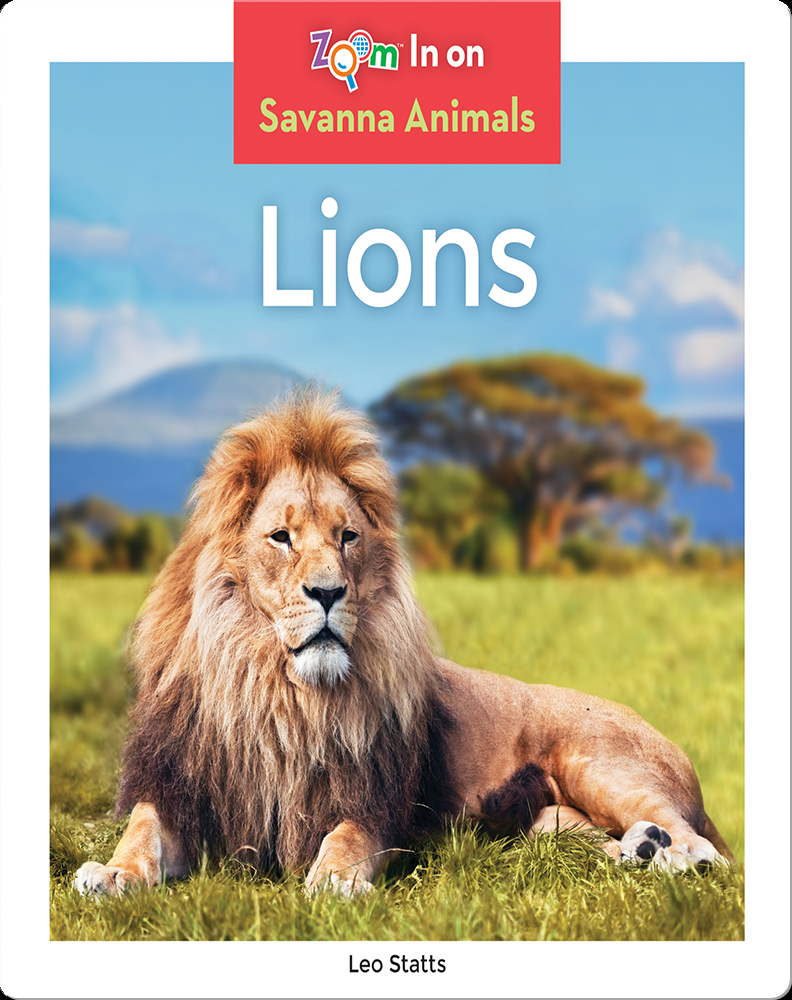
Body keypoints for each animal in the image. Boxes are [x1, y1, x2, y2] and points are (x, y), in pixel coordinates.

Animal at [74, 392, 732, 897]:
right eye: (281, 537)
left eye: (348, 537)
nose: (328, 592)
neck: (280, 694)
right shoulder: (181, 788)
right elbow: (142, 832)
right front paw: (110, 874)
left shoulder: (374, 803)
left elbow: (345, 839)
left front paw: (335, 880)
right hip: (549, 821)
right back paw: (640, 850)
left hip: (599, 764)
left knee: (706, 848)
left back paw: (673, 856)